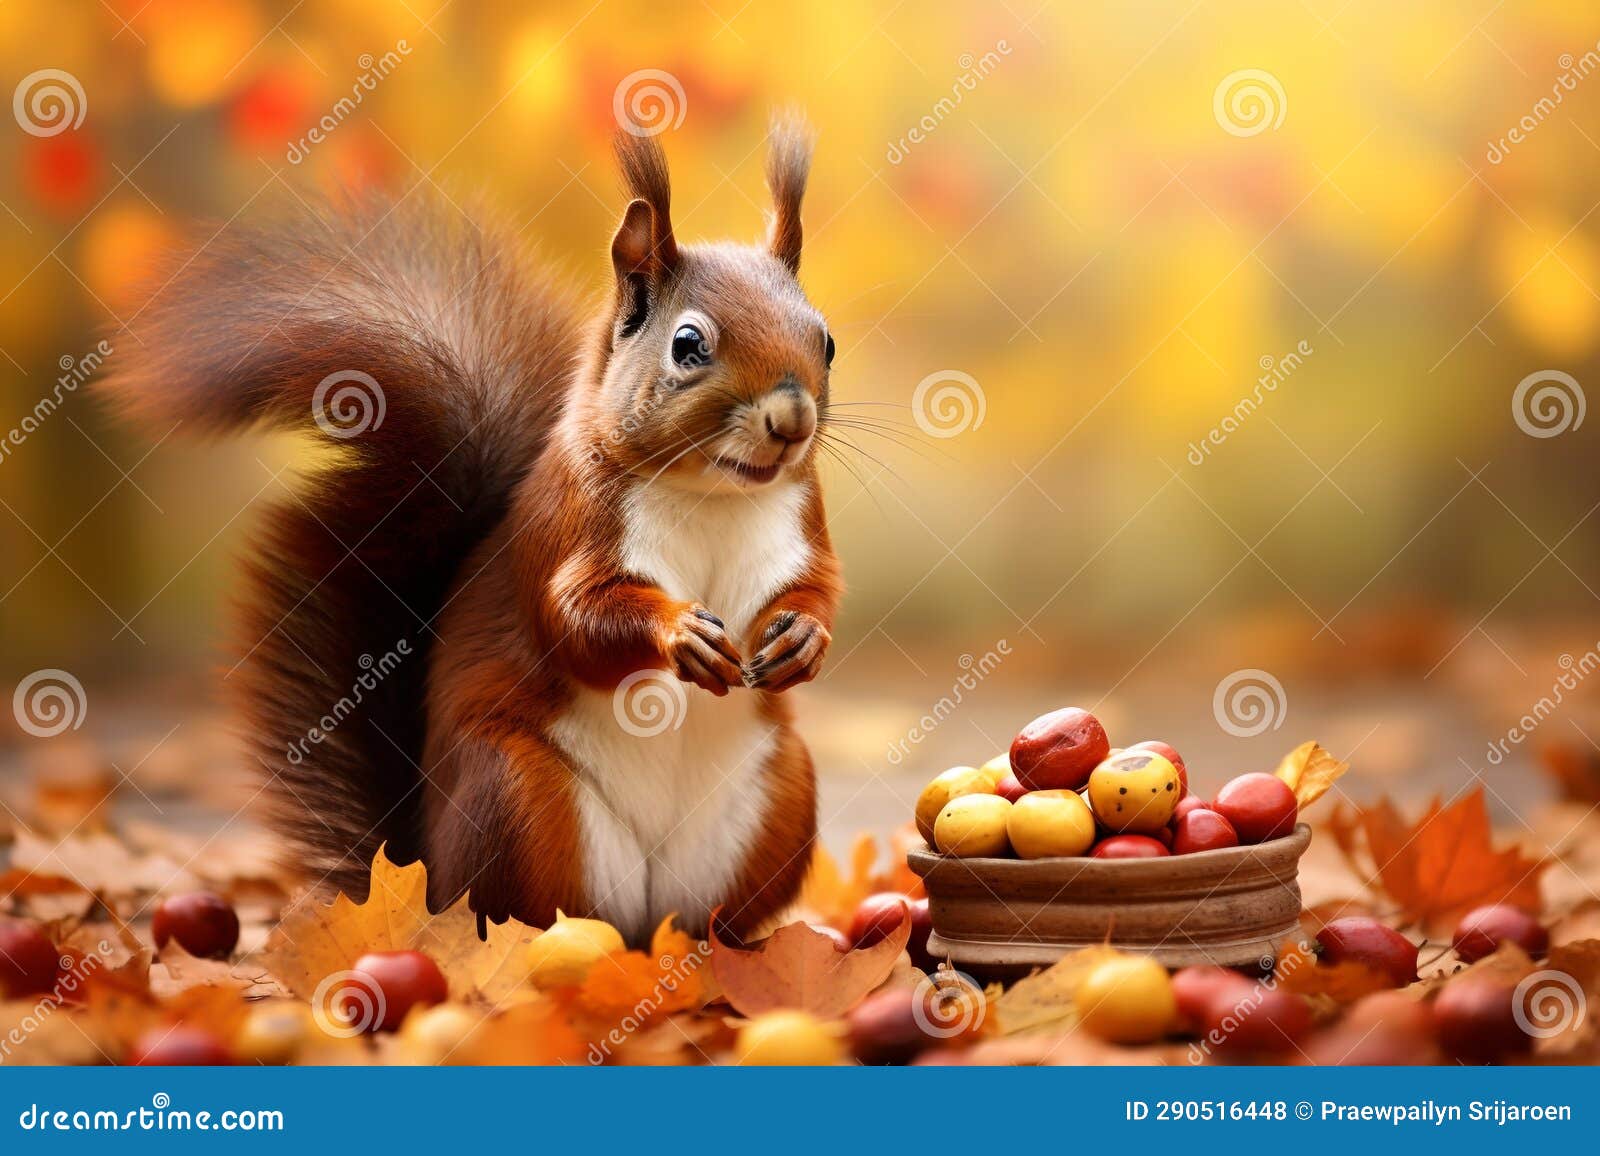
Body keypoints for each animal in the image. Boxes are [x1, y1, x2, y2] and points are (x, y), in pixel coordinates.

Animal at [101, 120, 842, 944]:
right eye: (688, 345)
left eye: (826, 340)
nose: (792, 420)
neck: (712, 495)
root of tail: (426, 874)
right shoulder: (569, 527)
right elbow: (579, 618)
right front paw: (679, 632)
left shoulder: (800, 526)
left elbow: (816, 587)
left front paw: (803, 638)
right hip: (516, 793)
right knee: (522, 913)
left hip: (778, 793)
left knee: (708, 918)